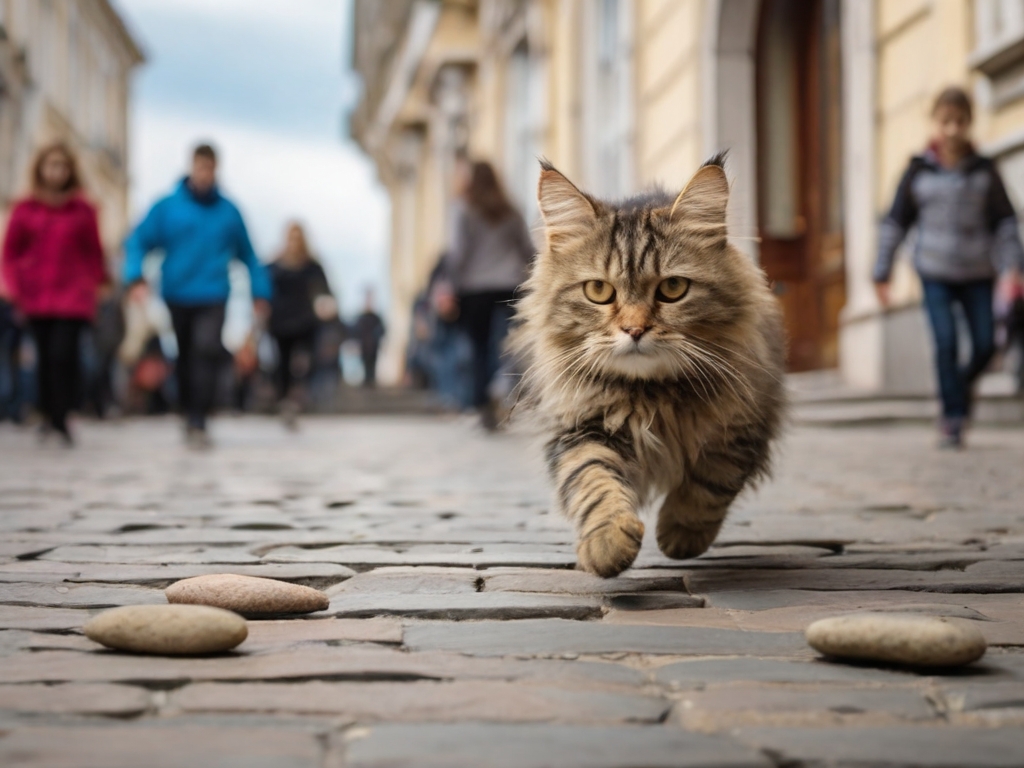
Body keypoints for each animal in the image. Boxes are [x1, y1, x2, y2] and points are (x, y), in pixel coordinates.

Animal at [509, 156, 782, 577]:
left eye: (673, 289)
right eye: (599, 291)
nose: (634, 329)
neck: (651, 396)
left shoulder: (744, 422)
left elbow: (710, 482)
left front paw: (680, 535)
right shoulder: (581, 427)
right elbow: (593, 480)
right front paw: (607, 544)